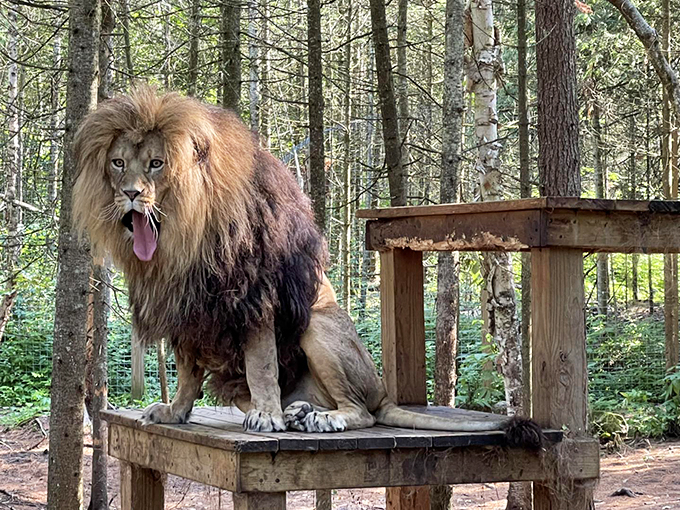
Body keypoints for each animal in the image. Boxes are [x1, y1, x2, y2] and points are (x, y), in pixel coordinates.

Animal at [72, 87, 540, 444]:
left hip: (318, 326)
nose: (130, 194)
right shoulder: (188, 310)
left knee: (361, 411)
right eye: (118, 163)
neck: (181, 239)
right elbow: (188, 374)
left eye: (156, 163)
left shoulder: (255, 295)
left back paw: (318, 418)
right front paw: (175, 411)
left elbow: (261, 365)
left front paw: (266, 417)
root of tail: (383, 392)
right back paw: (298, 413)